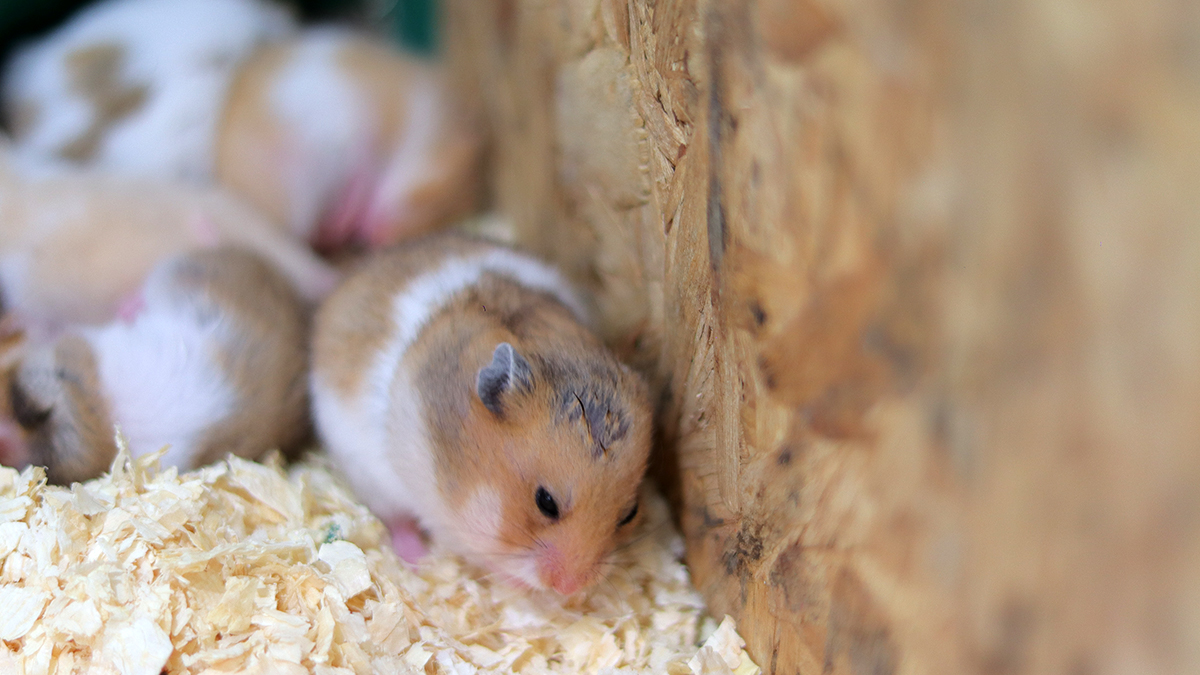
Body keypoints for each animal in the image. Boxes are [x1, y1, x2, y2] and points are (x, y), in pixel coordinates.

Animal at [310, 234, 652, 595]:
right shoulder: (437, 509)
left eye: (630, 513)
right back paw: (418, 562)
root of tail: (352, 277)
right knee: (397, 521)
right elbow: (481, 555)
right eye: (546, 502)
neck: (469, 473)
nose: (569, 588)